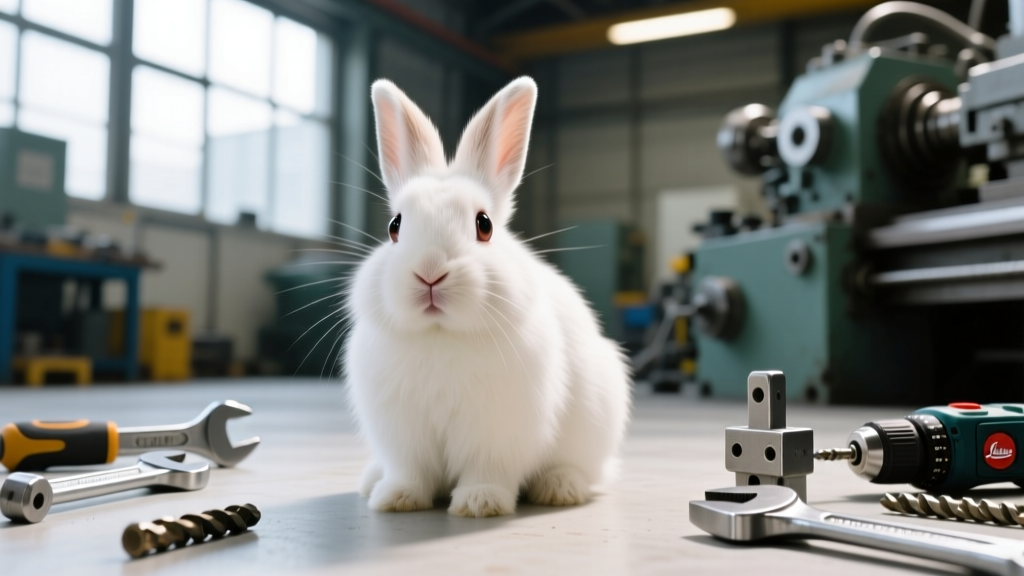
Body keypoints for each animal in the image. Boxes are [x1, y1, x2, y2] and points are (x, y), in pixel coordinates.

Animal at [343, 75, 631, 518]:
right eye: (394, 226)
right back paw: (371, 481)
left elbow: (487, 469)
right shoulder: (404, 435)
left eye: (484, 225)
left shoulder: (497, 433)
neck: (441, 335)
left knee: (583, 469)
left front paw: (480, 504)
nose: (430, 272)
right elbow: (410, 470)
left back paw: (560, 488)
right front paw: (397, 499)